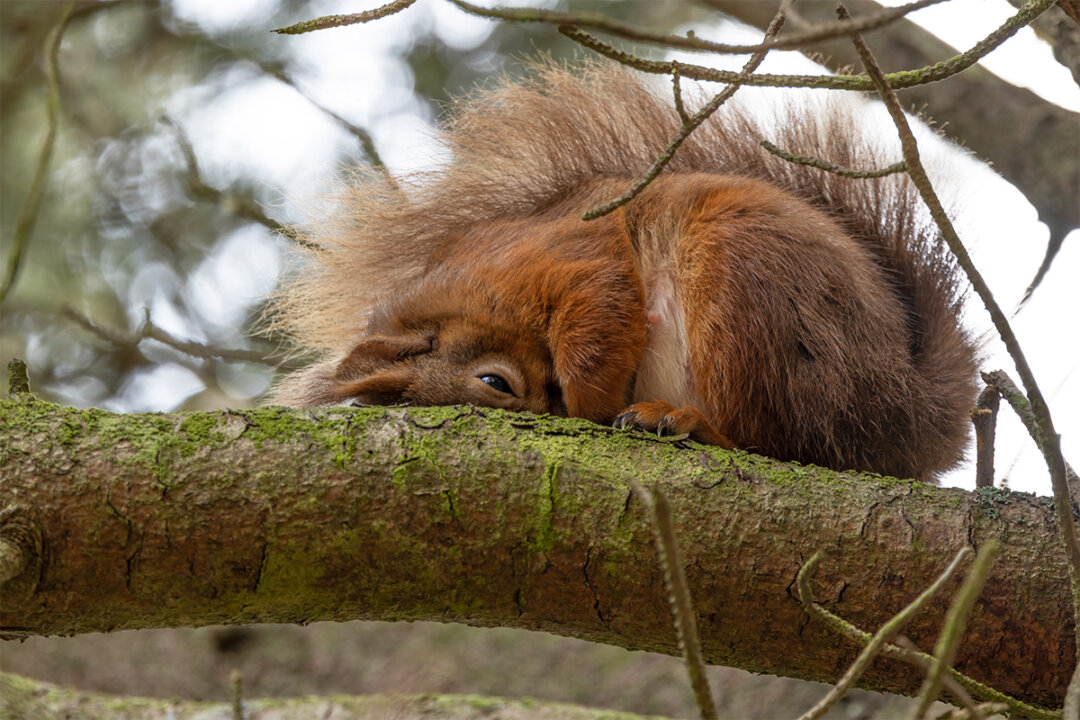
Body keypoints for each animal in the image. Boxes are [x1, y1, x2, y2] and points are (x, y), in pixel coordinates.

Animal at [268, 61, 977, 482]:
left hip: (749, 286)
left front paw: (590, 407)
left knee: (778, 441)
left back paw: (685, 422)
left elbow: (598, 323)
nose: (548, 410)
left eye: (496, 383)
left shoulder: (561, 259)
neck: (456, 298)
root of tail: (911, 408)